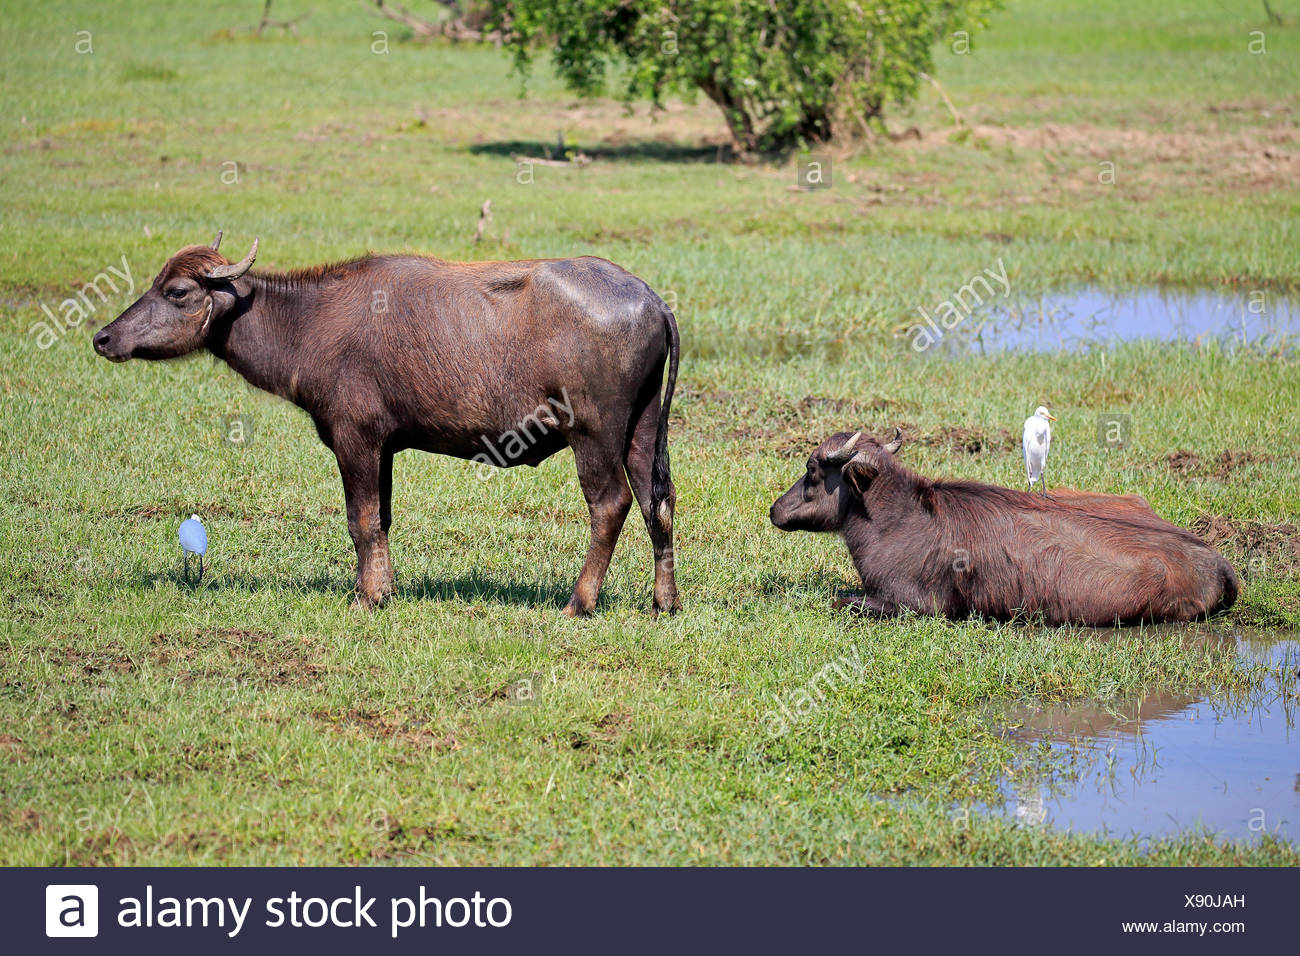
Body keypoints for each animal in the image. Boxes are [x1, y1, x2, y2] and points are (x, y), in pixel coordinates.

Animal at [93, 234, 681, 616]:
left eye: (177, 292)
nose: (103, 337)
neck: (308, 322)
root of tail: (652, 299)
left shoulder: (354, 439)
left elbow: (361, 519)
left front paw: (366, 597)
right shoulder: (386, 449)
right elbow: (383, 518)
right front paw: (386, 587)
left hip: (594, 435)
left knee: (611, 506)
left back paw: (579, 602)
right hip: (643, 430)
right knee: (659, 503)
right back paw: (664, 602)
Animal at [770, 428, 1237, 626]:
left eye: (812, 469)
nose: (774, 509)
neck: (900, 519)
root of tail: (1216, 560)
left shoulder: (914, 604)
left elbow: (841, 601)